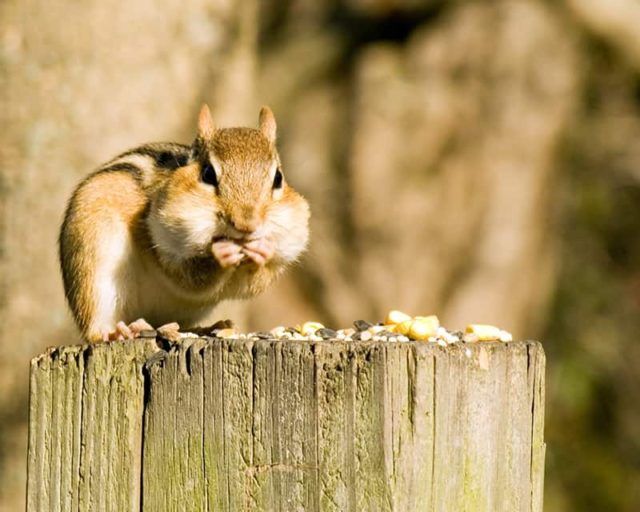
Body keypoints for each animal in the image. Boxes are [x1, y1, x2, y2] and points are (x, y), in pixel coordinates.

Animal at [59, 105, 310, 343]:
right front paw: (219, 253)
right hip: (92, 263)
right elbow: (187, 277)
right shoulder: (161, 241)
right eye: (208, 174)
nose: (247, 225)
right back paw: (116, 332)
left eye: (278, 178)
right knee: (94, 327)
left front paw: (262, 251)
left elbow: (254, 284)